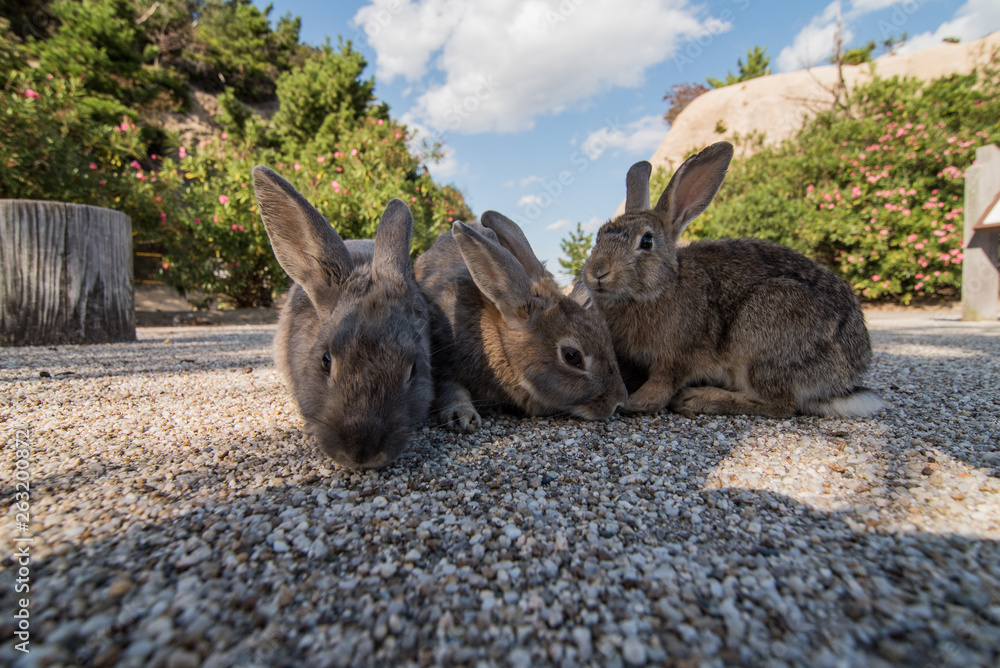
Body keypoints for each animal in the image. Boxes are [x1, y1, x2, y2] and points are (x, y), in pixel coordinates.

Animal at [414, 210, 627, 432]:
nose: (618, 402)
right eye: (572, 356)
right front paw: (463, 415)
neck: (498, 344)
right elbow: (449, 387)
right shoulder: (442, 357)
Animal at [579, 141, 884, 418]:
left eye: (646, 241)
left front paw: (636, 402)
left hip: (762, 333)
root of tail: (845, 376)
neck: (662, 287)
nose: (598, 272)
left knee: (782, 405)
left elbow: (662, 385)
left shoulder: (678, 356)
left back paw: (698, 399)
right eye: (599, 237)